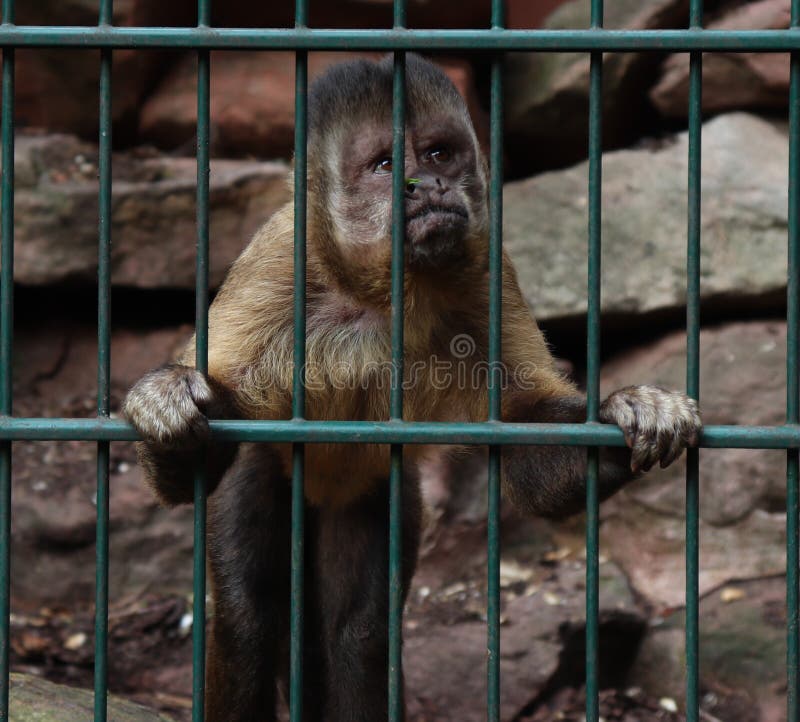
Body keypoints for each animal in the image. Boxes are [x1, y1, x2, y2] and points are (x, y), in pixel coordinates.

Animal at [123, 54, 701, 722]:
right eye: (385, 166)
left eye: (438, 154)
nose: (428, 185)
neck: (381, 294)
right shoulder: (276, 264)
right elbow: (203, 445)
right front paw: (168, 402)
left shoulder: (488, 270)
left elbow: (525, 445)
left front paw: (626, 410)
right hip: (267, 477)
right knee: (247, 623)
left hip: (377, 495)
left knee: (360, 636)